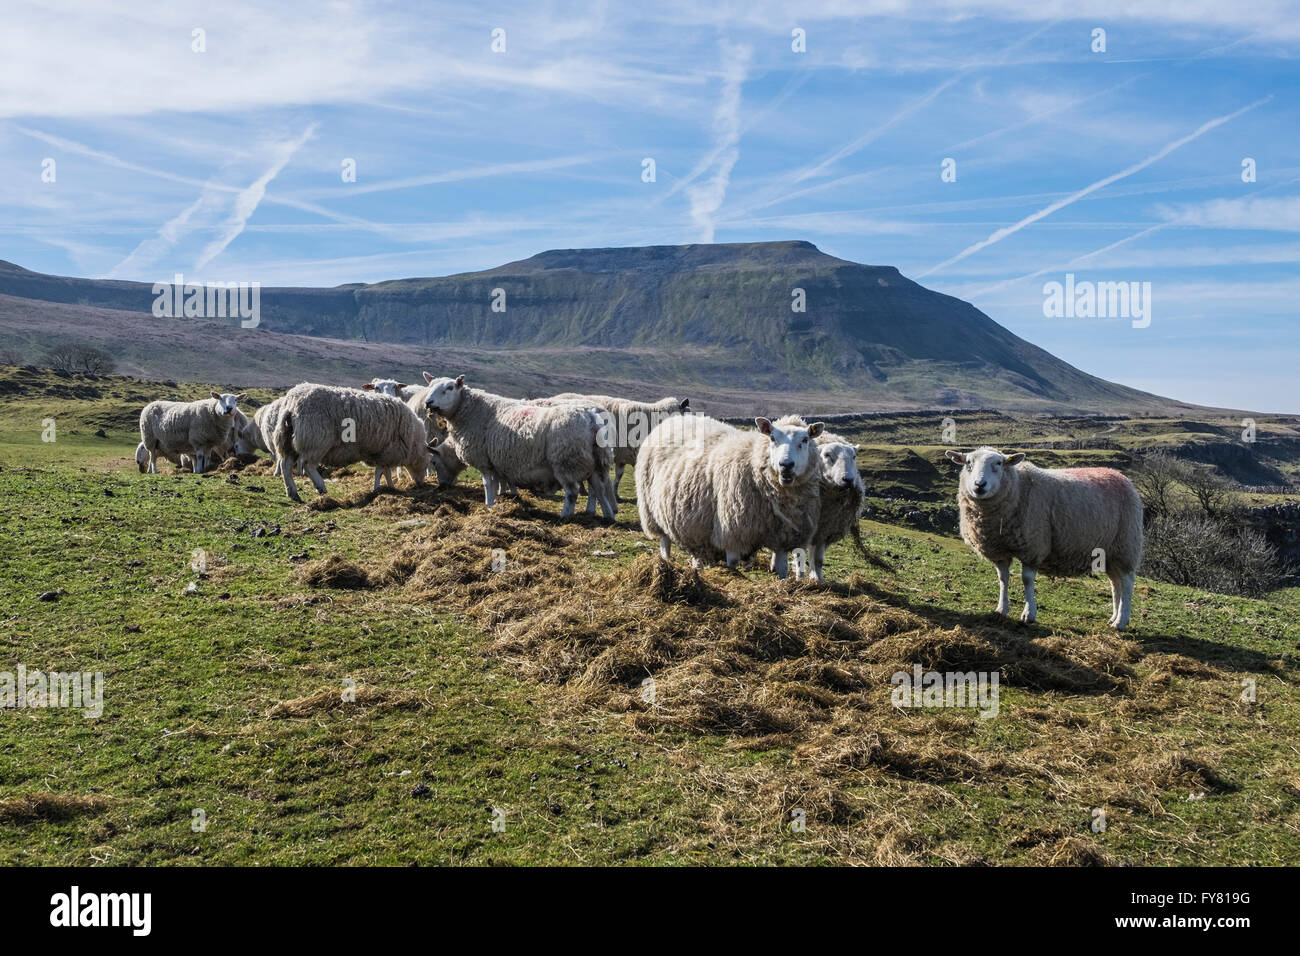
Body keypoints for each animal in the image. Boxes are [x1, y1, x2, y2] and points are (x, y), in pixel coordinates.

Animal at [272, 383, 429, 502]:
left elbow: (386, 472)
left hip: (287, 439)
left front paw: (390, 487)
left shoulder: (382, 453)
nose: (420, 484)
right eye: (427, 464)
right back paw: (321, 487)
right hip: (315, 440)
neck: (415, 441)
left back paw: (293, 493)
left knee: (285, 464)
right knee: (307, 465)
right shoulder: (388, 452)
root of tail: (292, 403)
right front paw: (378, 489)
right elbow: (380, 472)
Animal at [421, 374, 616, 520]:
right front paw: (505, 496)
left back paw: (566, 515)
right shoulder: (500, 460)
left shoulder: (484, 460)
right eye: (430, 386)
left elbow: (488, 484)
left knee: (573, 492)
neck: (471, 411)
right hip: (595, 461)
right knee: (599, 488)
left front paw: (489, 504)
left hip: (567, 460)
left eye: (450, 388)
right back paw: (608, 515)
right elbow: (502, 481)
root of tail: (591, 416)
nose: (428, 403)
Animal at [636, 414, 824, 579]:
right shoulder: (733, 530)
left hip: (696, 526)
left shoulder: (783, 537)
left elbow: (782, 568)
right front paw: (732, 576)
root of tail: (674, 418)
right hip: (652, 511)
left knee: (697, 553)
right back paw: (665, 563)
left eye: (805, 440)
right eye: (772, 438)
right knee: (664, 542)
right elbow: (732, 563)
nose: (786, 465)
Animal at [945, 446, 1143, 630]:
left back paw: (1121, 621)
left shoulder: (1033, 546)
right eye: (968, 463)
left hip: (1126, 544)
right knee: (1115, 583)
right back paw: (1114, 617)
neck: (1018, 488)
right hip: (1110, 553)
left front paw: (1029, 614)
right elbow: (1003, 579)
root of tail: (1119, 475)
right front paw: (1001, 610)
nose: (980, 485)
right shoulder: (999, 550)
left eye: (999, 463)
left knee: (1127, 583)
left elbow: (1027, 580)